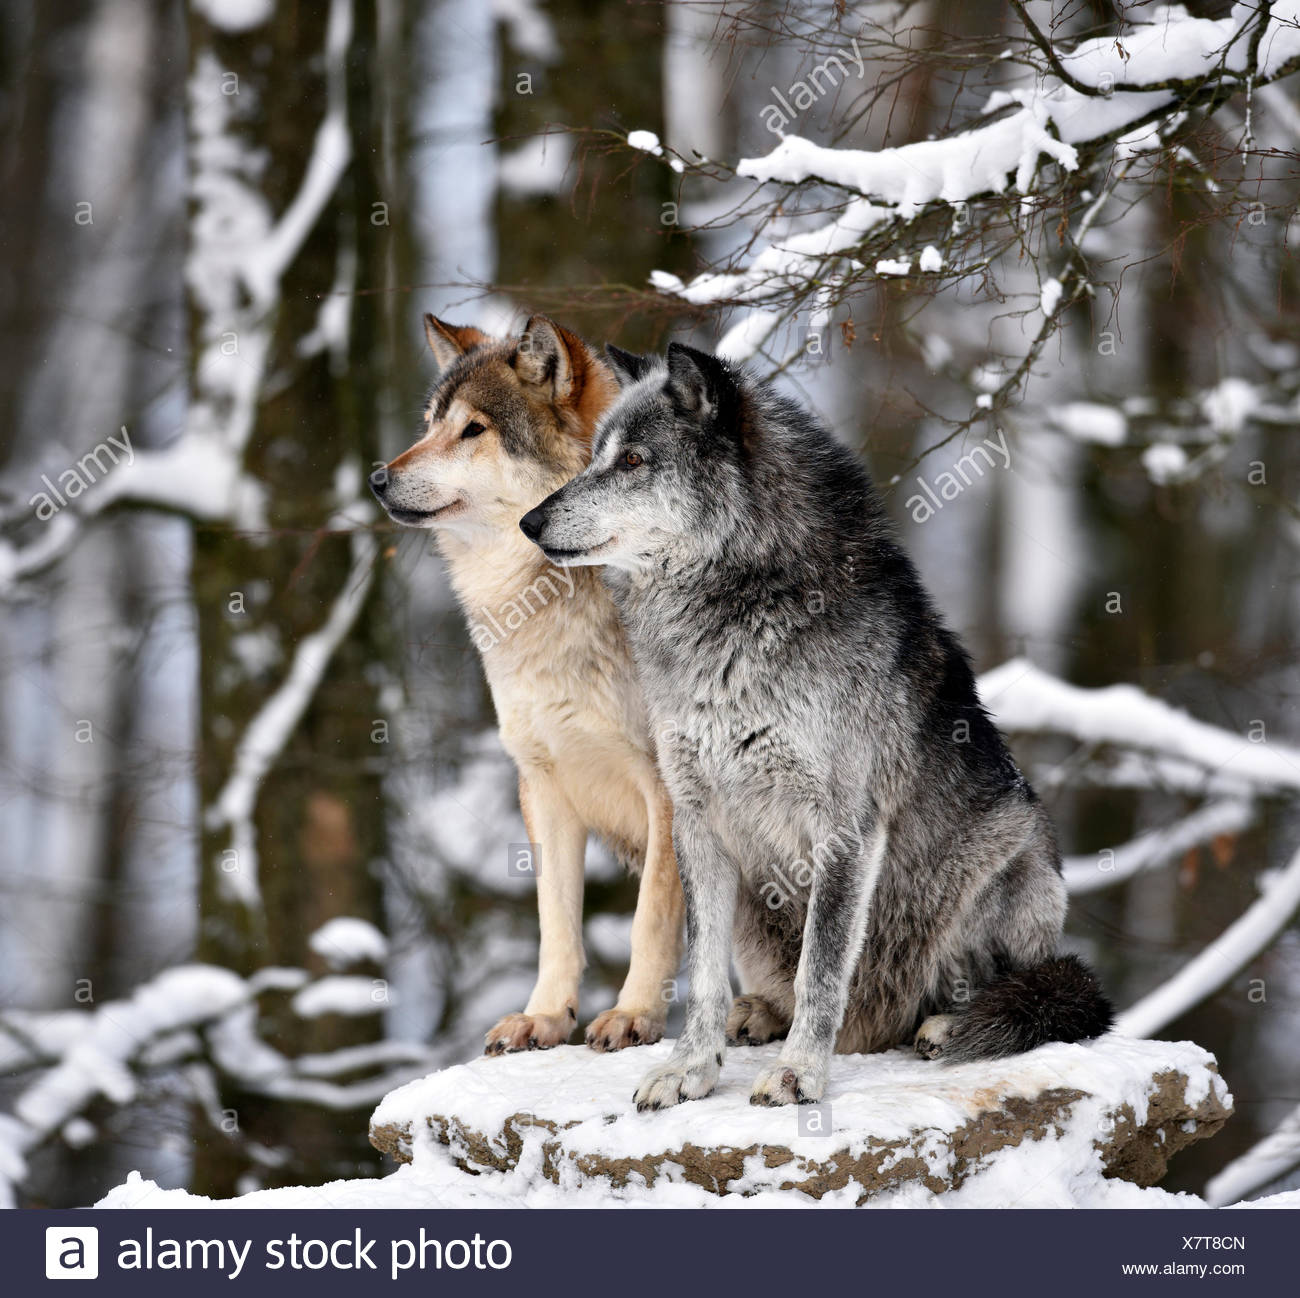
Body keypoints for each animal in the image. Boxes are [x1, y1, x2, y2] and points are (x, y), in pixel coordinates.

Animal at [369, 315, 683, 1055]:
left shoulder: (669, 784)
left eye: (474, 429)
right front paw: (544, 1017)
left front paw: (634, 1014)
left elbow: (650, 915)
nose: (377, 478)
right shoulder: (542, 782)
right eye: (430, 424)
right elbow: (555, 922)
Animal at [519, 342, 1112, 1108]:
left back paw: (946, 1025)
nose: (529, 523)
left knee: (1012, 989)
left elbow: (821, 970)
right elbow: (703, 978)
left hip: (997, 858)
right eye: (596, 456)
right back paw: (759, 1015)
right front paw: (690, 1068)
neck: (737, 611)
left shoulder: (846, 828)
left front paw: (799, 1073)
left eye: (633, 461)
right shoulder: (695, 820)